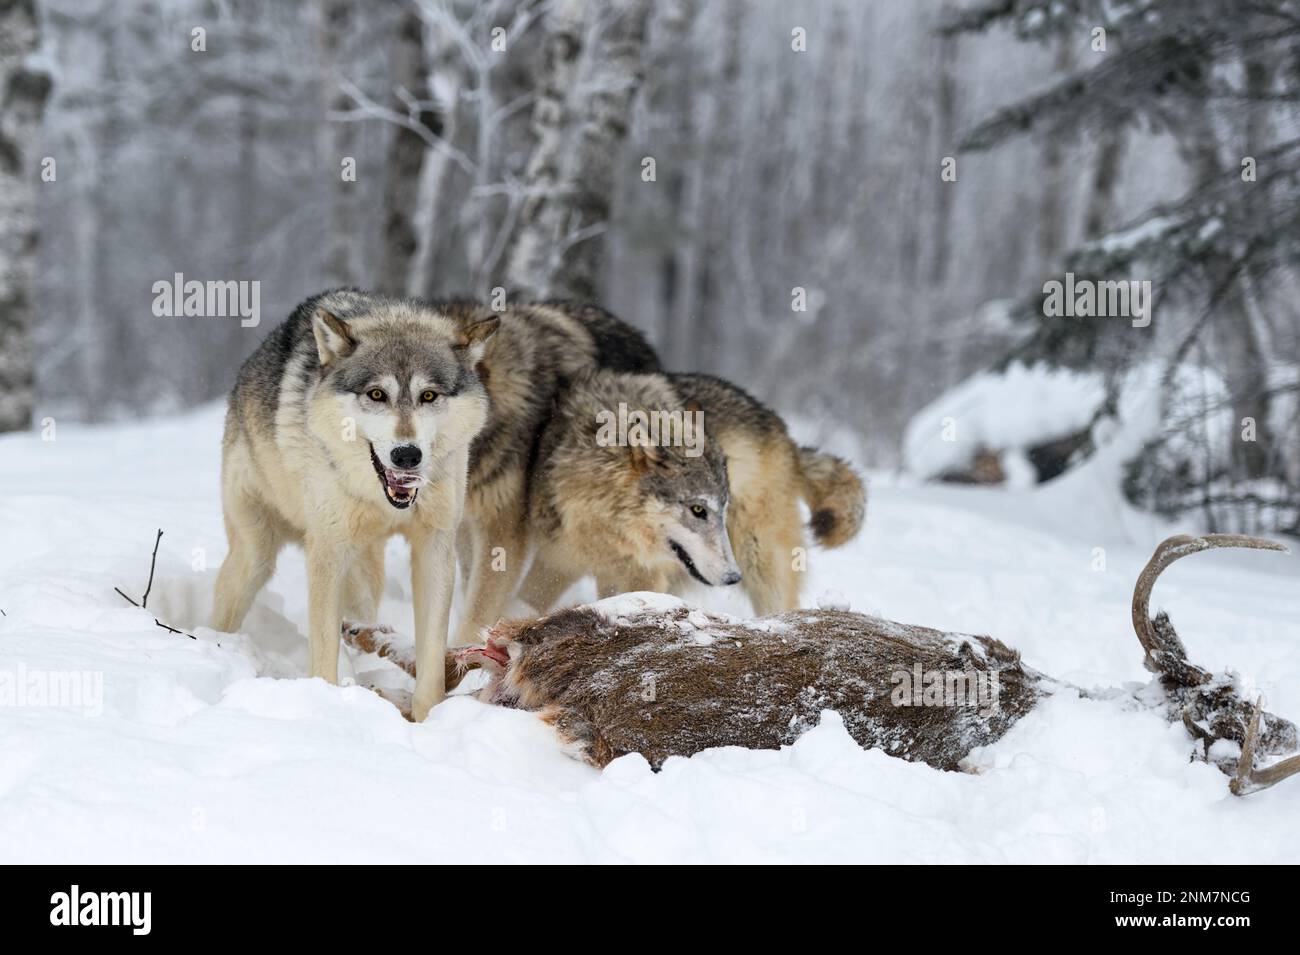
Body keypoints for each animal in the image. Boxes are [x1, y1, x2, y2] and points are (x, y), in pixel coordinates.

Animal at [211, 288, 497, 720]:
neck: (384, 500)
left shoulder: (435, 545)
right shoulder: (328, 552)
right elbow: (324, 652)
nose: (406, 455)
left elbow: (432, 655)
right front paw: (326, 705)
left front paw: (429, 718)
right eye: (377, 394)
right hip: (255, 558)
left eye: (428, 395)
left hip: (364, 573)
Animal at [517, 369, 865, 616]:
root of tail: (782, 430)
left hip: (761, 561)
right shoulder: (556, 561)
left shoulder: (643, 577)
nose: (732, 577)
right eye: (698, 510)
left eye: (722, 508)